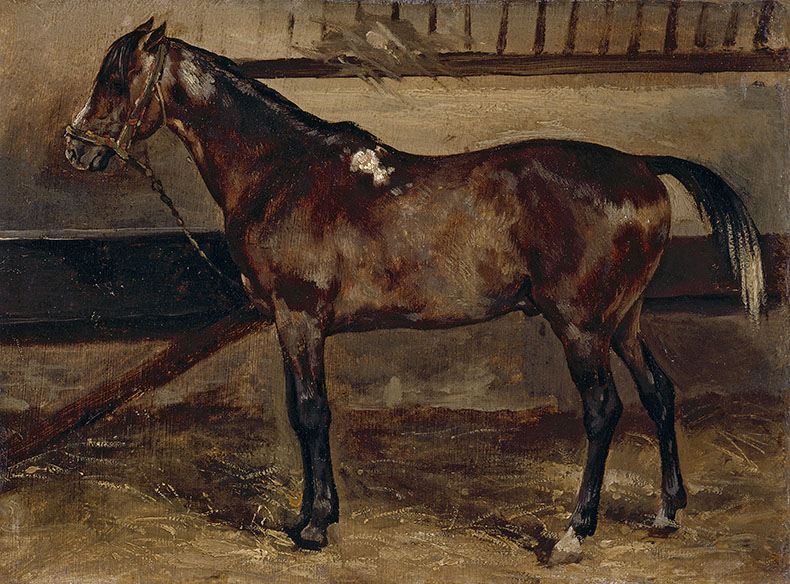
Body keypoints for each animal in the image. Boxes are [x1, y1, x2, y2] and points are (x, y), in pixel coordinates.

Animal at [64, 20, 765, 564]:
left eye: (116, 80)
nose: (76, 147)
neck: (282, 170)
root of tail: (641, 166)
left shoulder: (299, 318)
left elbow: (310, 413)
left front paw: (314, 528)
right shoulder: (293, 324)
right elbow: (302, 411)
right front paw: (310, 515)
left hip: (581, 326)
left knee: (604, 410)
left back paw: (572, 533)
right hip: (625, 319)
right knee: (659, 393)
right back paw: (668, 511)